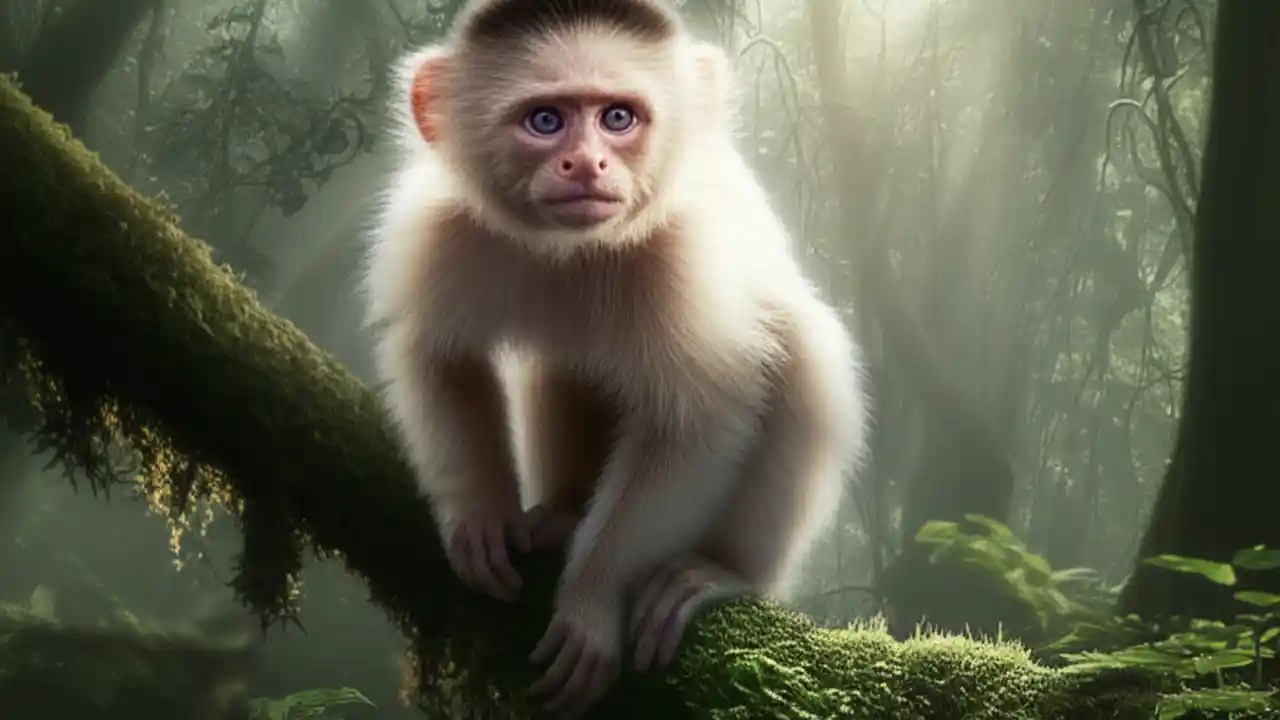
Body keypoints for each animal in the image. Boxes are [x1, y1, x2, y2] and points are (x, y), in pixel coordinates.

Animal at [361, 0, 869, 716]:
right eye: (546, 121)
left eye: (618, 118)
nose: (586, 165)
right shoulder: (434, 226)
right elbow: (439, 357)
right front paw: (479, 513)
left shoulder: (685, 254)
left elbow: (697, 424)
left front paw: (593, 604)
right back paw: (564, 514)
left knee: (798, 348)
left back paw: (723, 570)